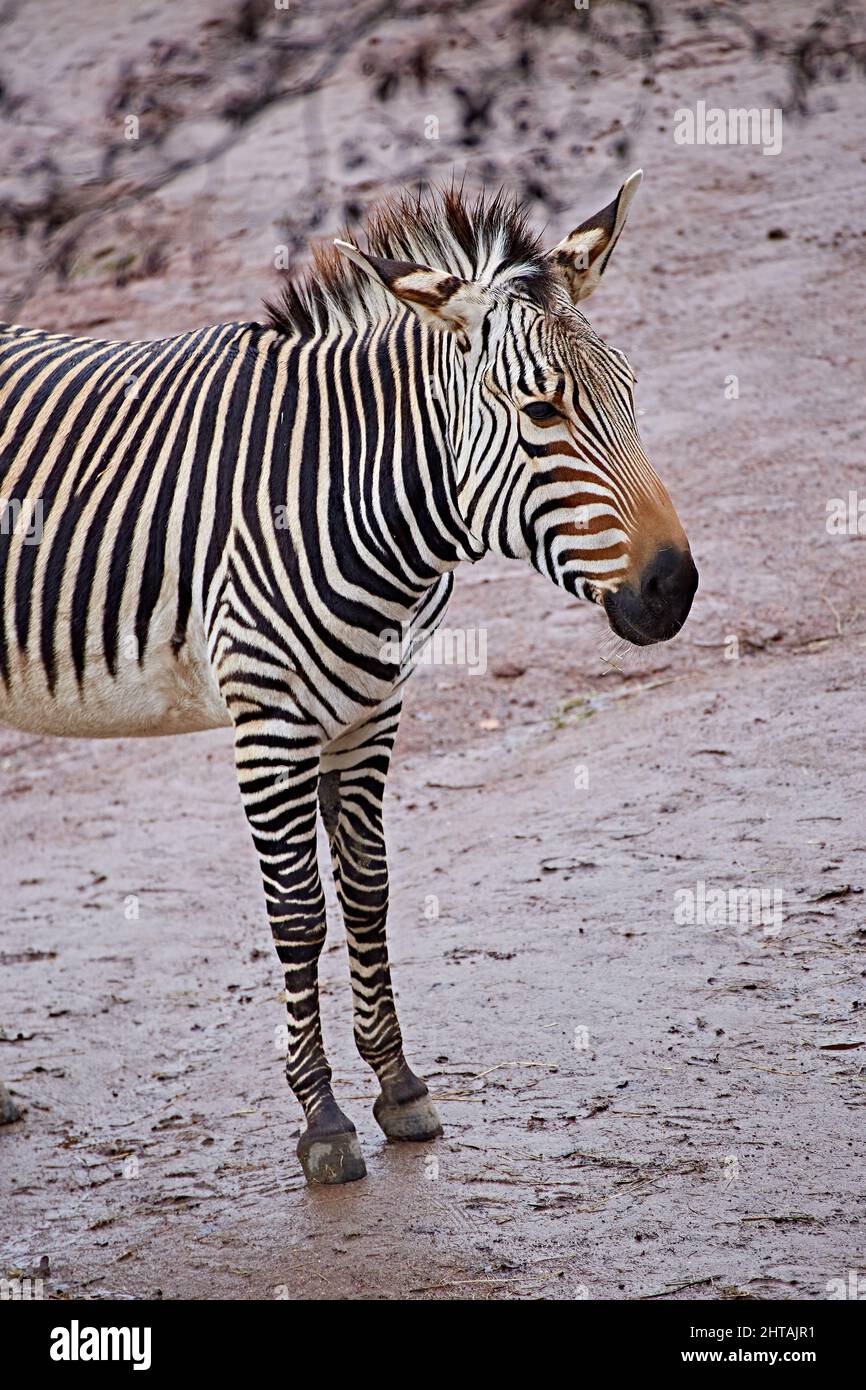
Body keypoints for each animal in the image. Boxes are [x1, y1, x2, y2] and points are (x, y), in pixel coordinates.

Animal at [0, 173, 697, 1182]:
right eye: (542, 412)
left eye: (632, 396)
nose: (674, 589)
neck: (353, 496)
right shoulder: (269, 721)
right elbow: (298, 915)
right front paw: (322, 1119)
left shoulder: (371, 706)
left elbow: (367, 892)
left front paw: (398, 1087)